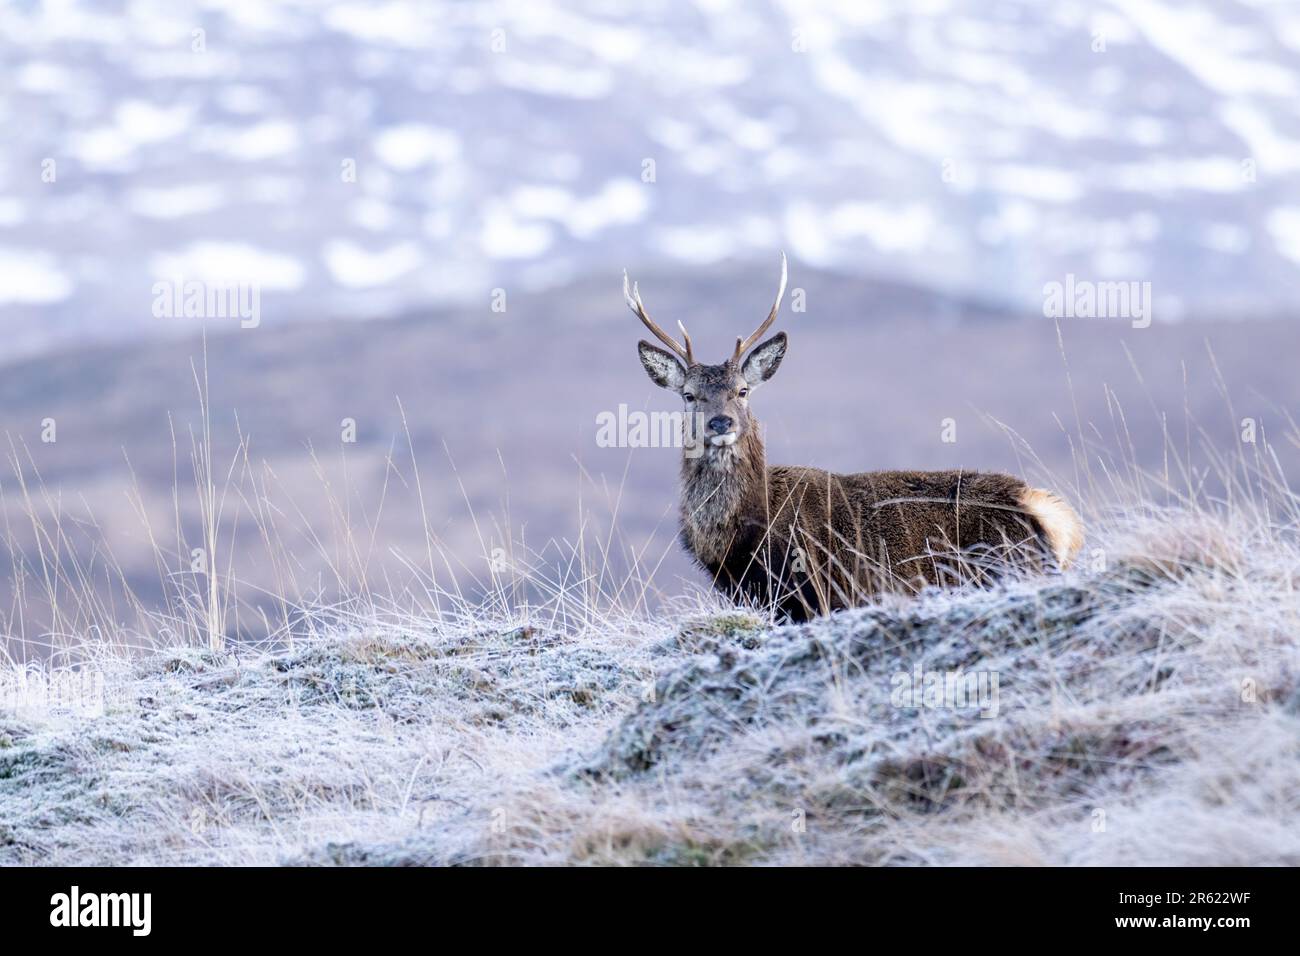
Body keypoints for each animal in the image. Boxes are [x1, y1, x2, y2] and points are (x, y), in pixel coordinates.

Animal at [624, 254, 1084, 623]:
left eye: (742, 391)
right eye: (689, 395)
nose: (721, 423)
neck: (742, 540)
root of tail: (1049, 512)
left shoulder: (812, 593)